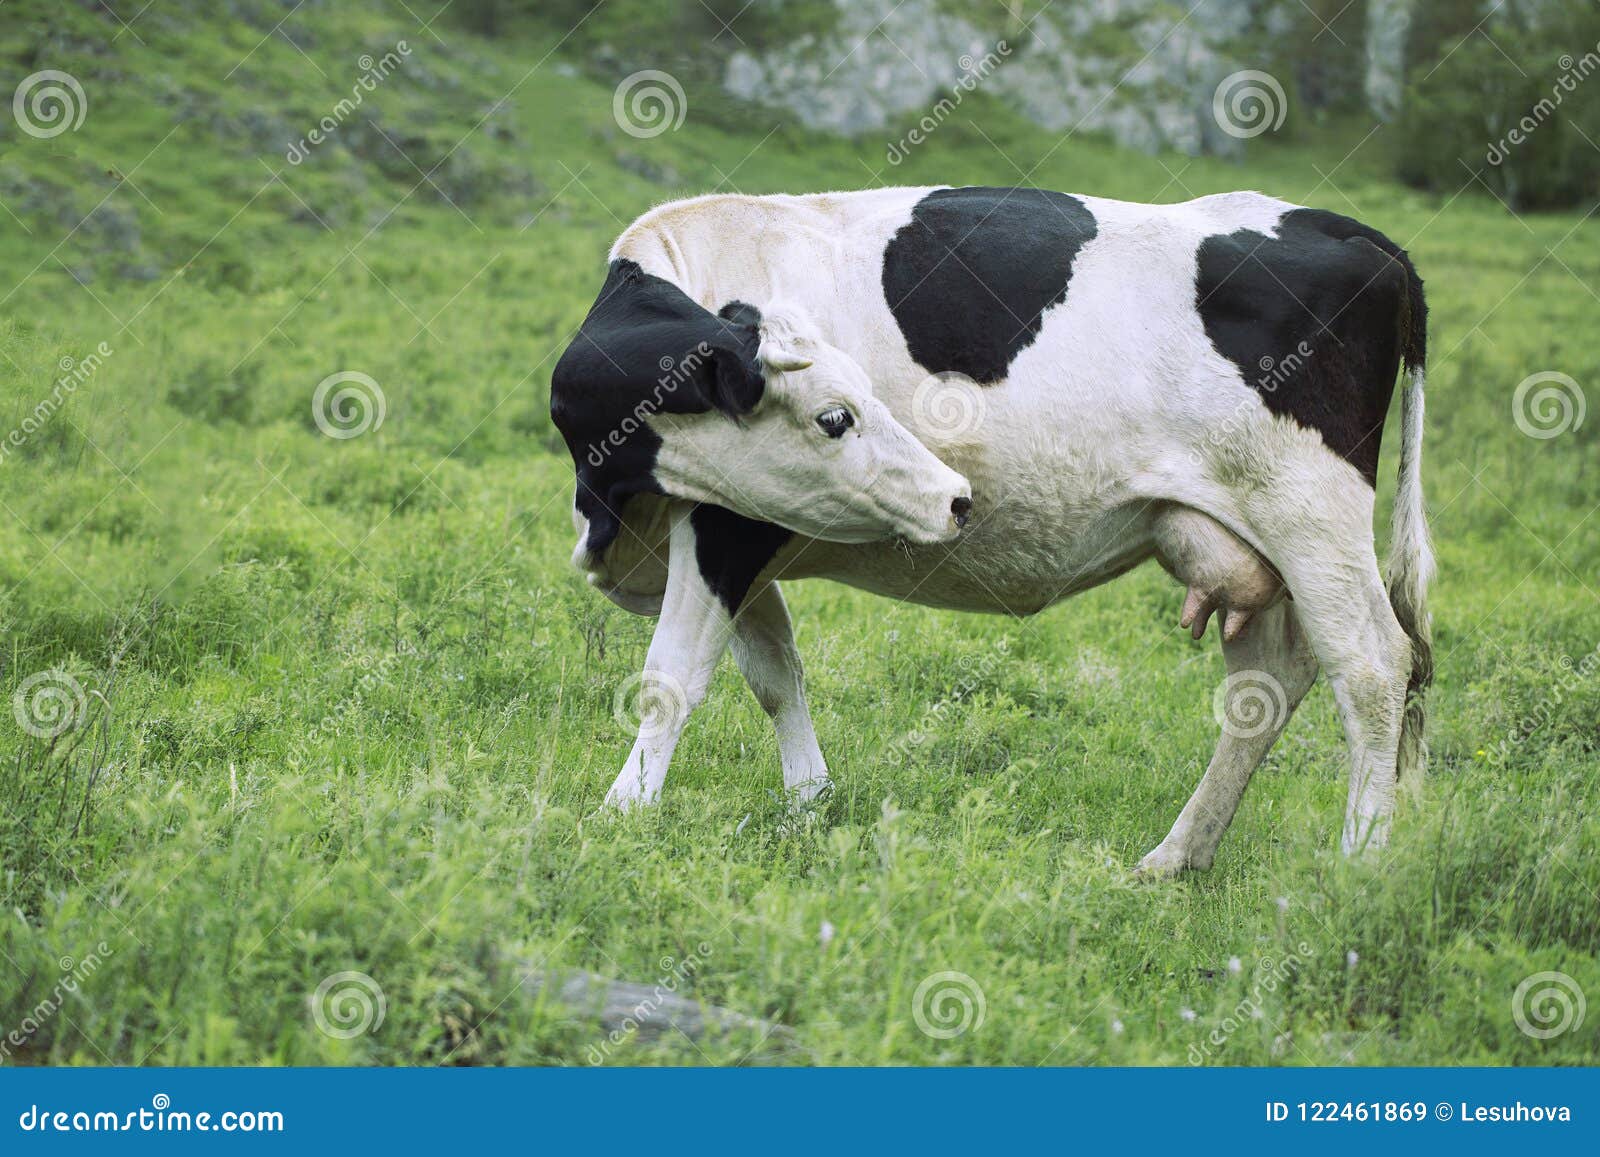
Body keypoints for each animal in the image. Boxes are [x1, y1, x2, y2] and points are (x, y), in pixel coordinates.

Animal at [549, 185, 1433, 877]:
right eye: (837, 415)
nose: (954, 497)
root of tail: (1354, 232)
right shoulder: (741, 535)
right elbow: (774, 674)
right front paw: (809, 801)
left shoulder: (732, 524)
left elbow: (672, 678)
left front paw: (623, 812)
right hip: (1249, 539)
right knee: (1268, 679)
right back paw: (1176, 856)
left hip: (1310, 511)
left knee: (1372, 664)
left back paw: (1361, 860)